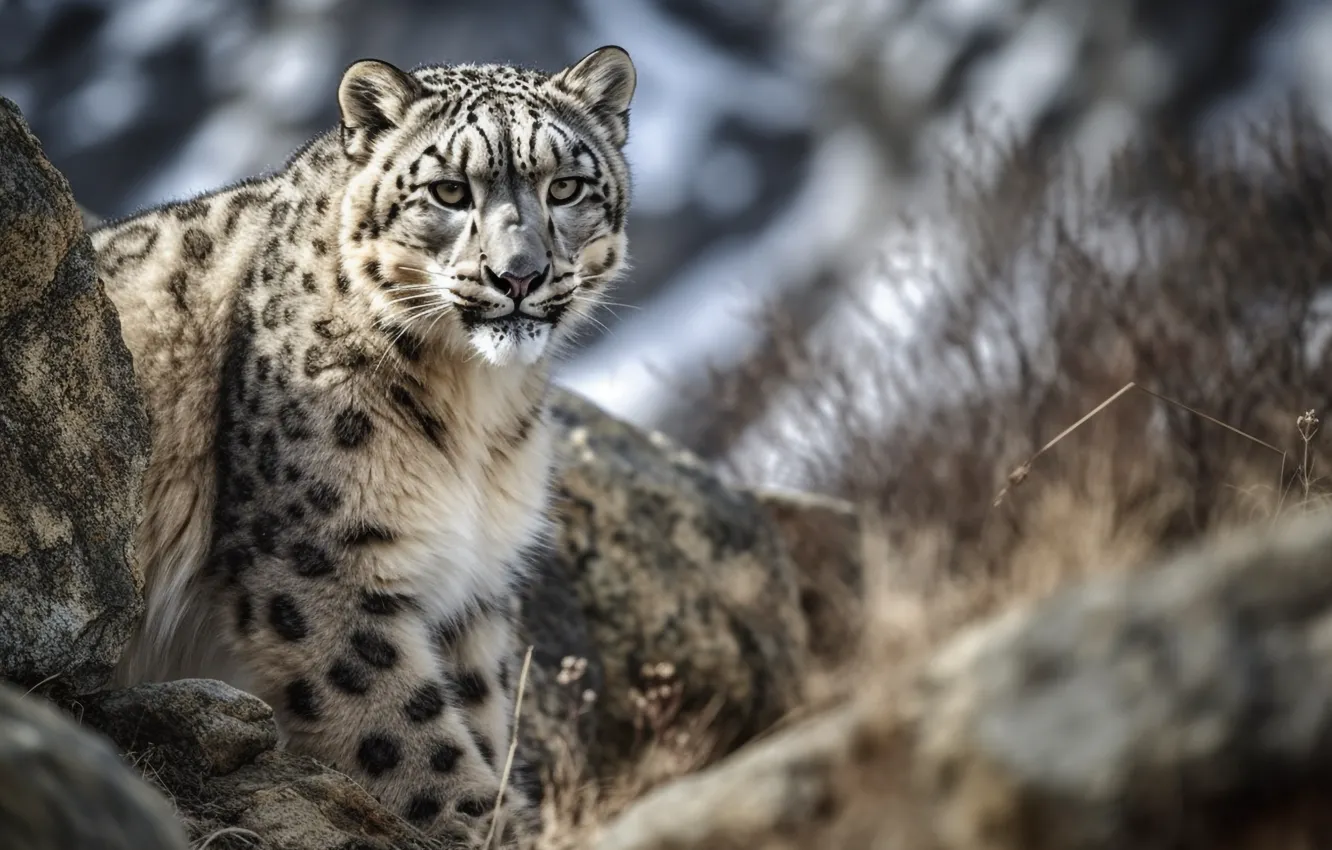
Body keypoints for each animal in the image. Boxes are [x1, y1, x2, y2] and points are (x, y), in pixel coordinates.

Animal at [90, 45, 636, 847]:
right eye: (449, 190)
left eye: (564, 186)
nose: (519, 276)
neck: (477, 412)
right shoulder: (314, 563)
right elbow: (407, 733)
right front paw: (487, 821)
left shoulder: (469, 579)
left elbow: (477, 708)